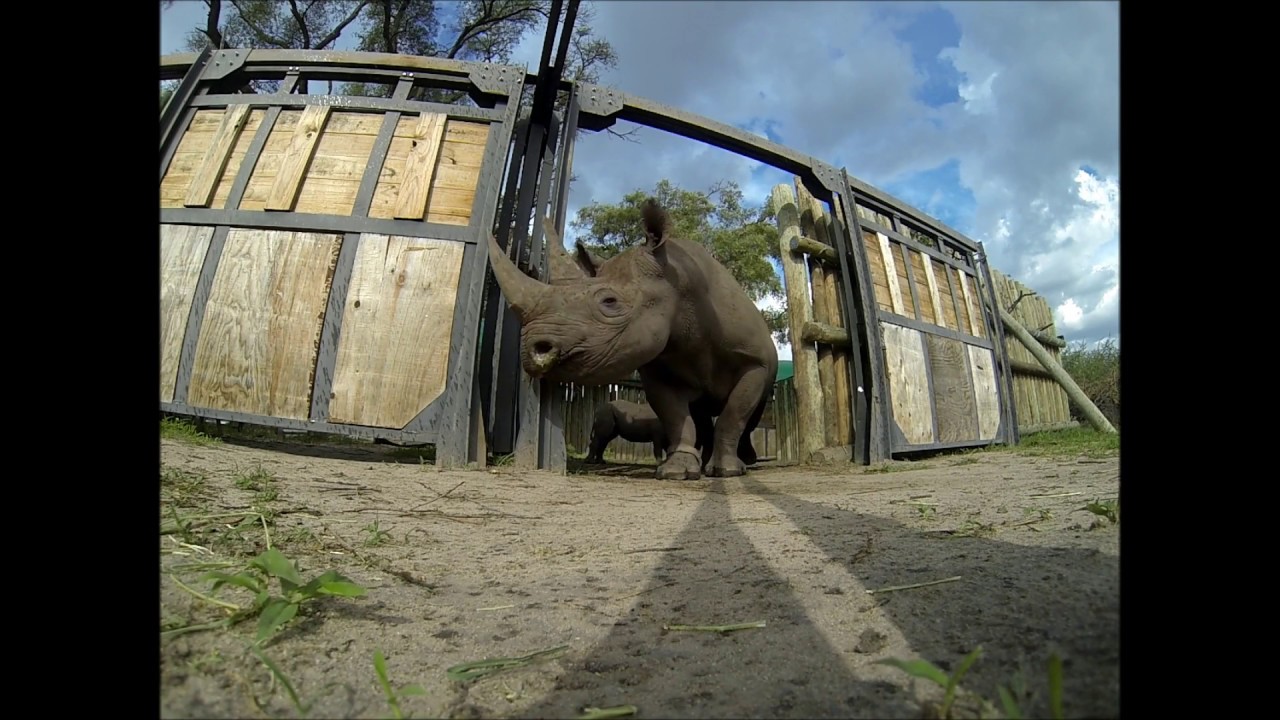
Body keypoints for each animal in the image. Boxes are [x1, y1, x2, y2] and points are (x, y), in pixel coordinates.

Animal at [485, 198, 778, 480]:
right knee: (701, 414)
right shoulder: (658, 367)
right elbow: (676, 417)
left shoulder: (755, 363)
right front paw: (677, 472)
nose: (533, 350)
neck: (677, 282)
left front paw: (727, 471)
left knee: (750, 415)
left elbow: (734, 415)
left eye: (610, 302)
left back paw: (743, 462)